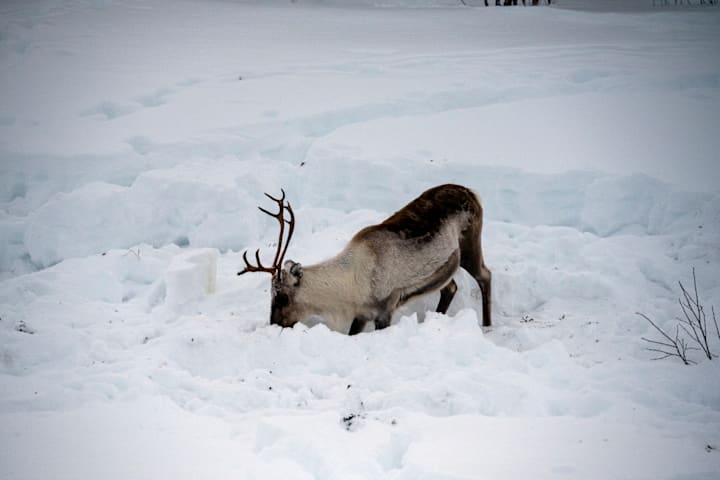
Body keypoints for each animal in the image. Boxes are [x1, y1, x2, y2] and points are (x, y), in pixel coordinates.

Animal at [238, 184, 492, 335]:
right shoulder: (361, 314)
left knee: (484, 275)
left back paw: (487, 325)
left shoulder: (384, 311)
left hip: (470, 247)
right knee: (451, 287)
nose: (274, 324)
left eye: (281, 297)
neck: (350, 285)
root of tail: (473, 192)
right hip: (448, 266)